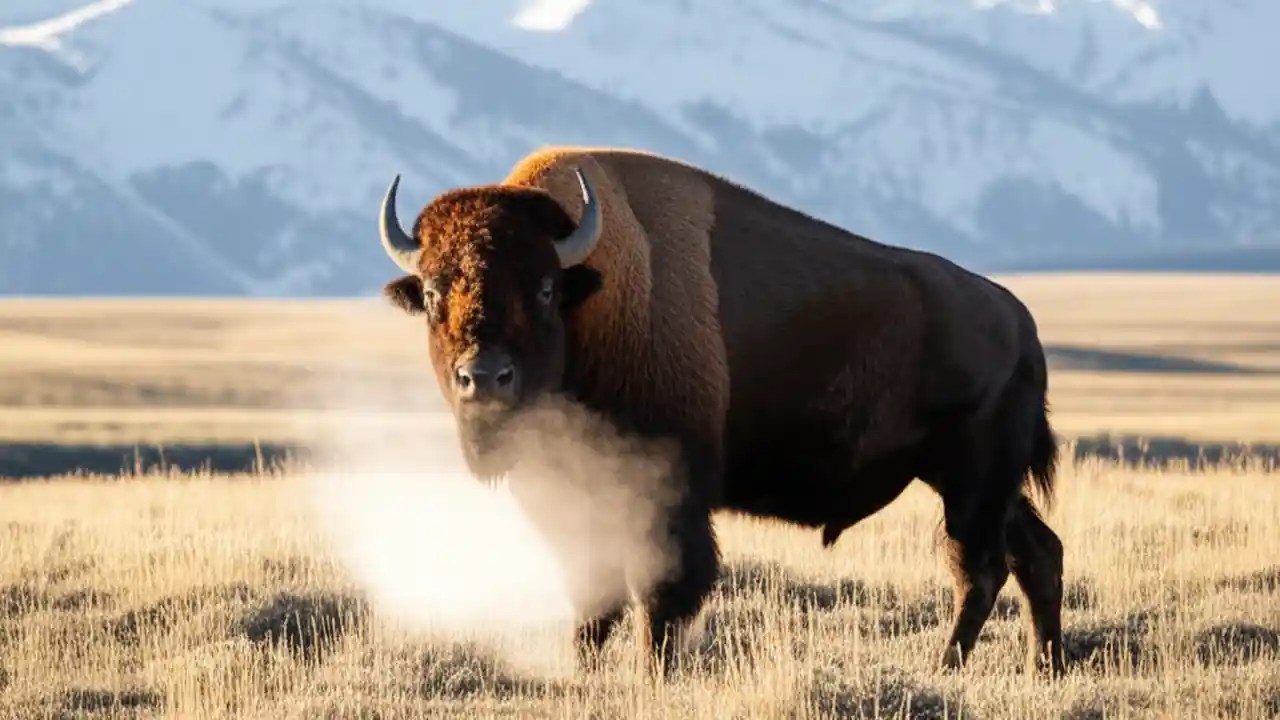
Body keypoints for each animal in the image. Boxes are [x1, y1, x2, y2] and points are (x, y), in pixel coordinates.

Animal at [376, 147, 1063, 674]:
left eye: (544, 289)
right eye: (433, 292)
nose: (484, 377)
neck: (592, 301)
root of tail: (1022, 323)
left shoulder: (669, 493)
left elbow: (662, 586)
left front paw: (653, 673)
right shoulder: (566, 491)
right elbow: (590, 586)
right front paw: (584, 669)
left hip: (972, 483)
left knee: (980, 570)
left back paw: (947, 665)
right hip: (976, 483)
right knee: (1038, 554)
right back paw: (1044, 667)